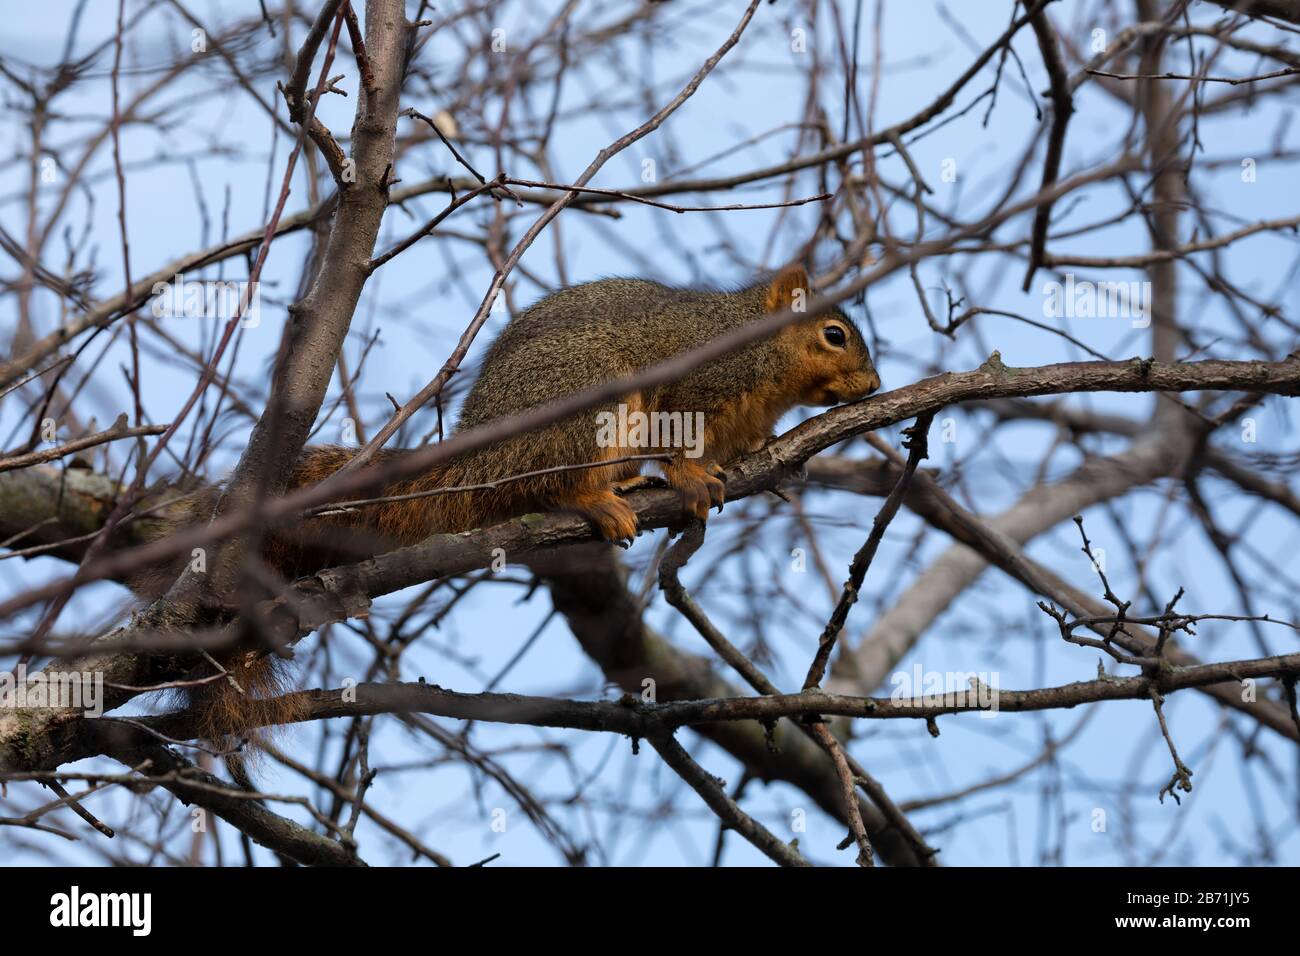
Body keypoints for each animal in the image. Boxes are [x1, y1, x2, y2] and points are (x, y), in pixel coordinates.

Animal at [140, 263, 880, 779]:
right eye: (834, 335)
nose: (873, 387)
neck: (765, 358)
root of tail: (484, 451)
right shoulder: (696, 384)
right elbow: (681, 443)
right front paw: (692, 479)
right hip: (589, 394)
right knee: (555, 481)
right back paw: (599, 498)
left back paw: (629, 483)